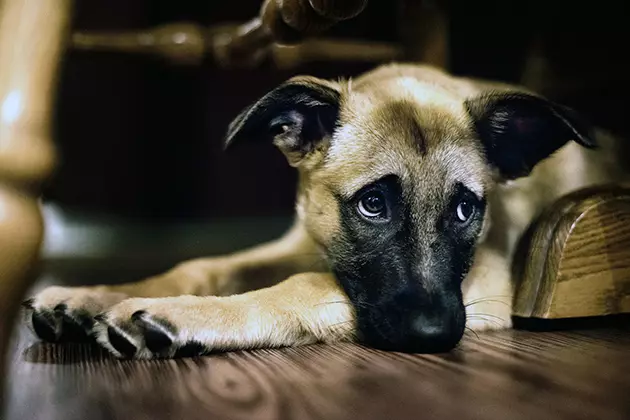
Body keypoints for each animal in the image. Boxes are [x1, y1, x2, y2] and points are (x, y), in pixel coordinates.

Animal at [22, 64, 628, 360]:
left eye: (464, 209)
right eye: (373, 204)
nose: (433, 335)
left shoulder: (489, 283)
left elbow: (302, 287)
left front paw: (181, 315)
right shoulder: (303, 242)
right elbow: (204, 265)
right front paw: (95, 294)